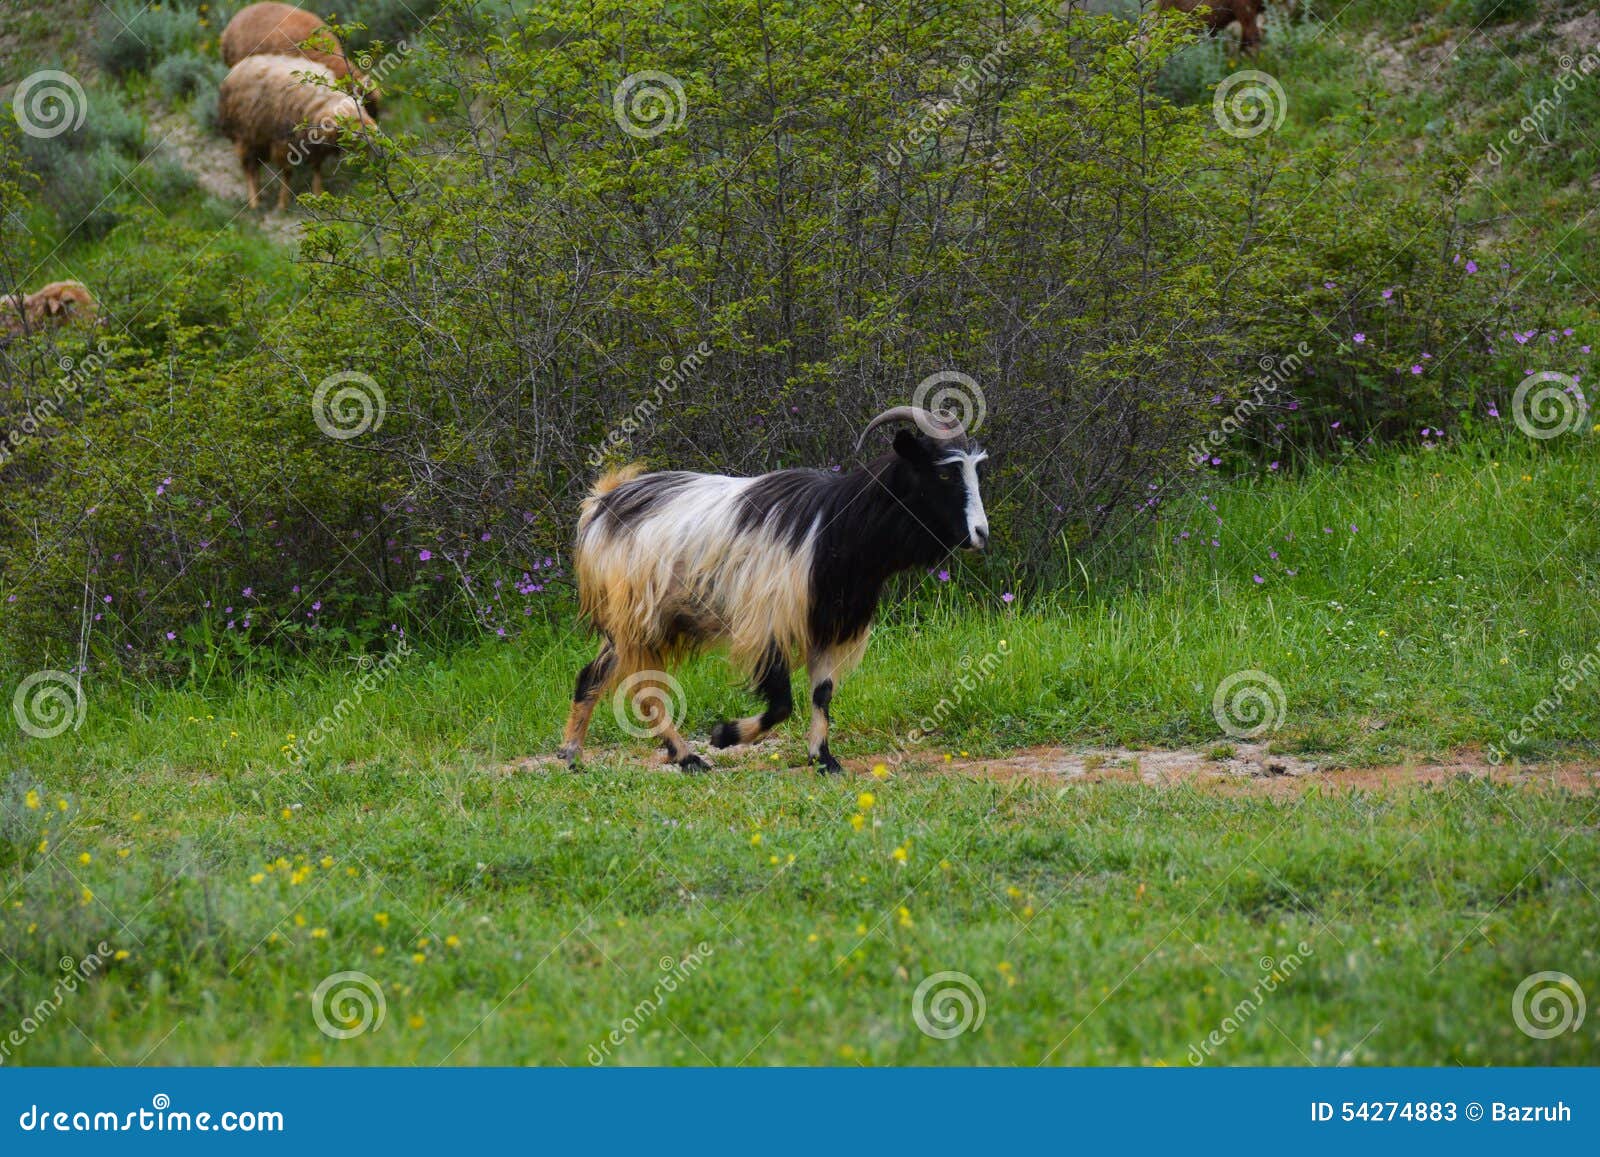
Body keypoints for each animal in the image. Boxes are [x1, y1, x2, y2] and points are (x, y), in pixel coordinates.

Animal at [558, 406, 991, 774]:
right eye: (945, 474)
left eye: (975, 472)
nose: (980, 534)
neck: (838, 527)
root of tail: (602, 503)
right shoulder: (769, 622)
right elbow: (782, 703)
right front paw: (724, 734)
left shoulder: (828, 624)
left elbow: (822, 694)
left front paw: (824, 759)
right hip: (640, 616)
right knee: (645, 688)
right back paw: (688, 757)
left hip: (632, 622)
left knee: (592, 675)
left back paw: (573, 754)